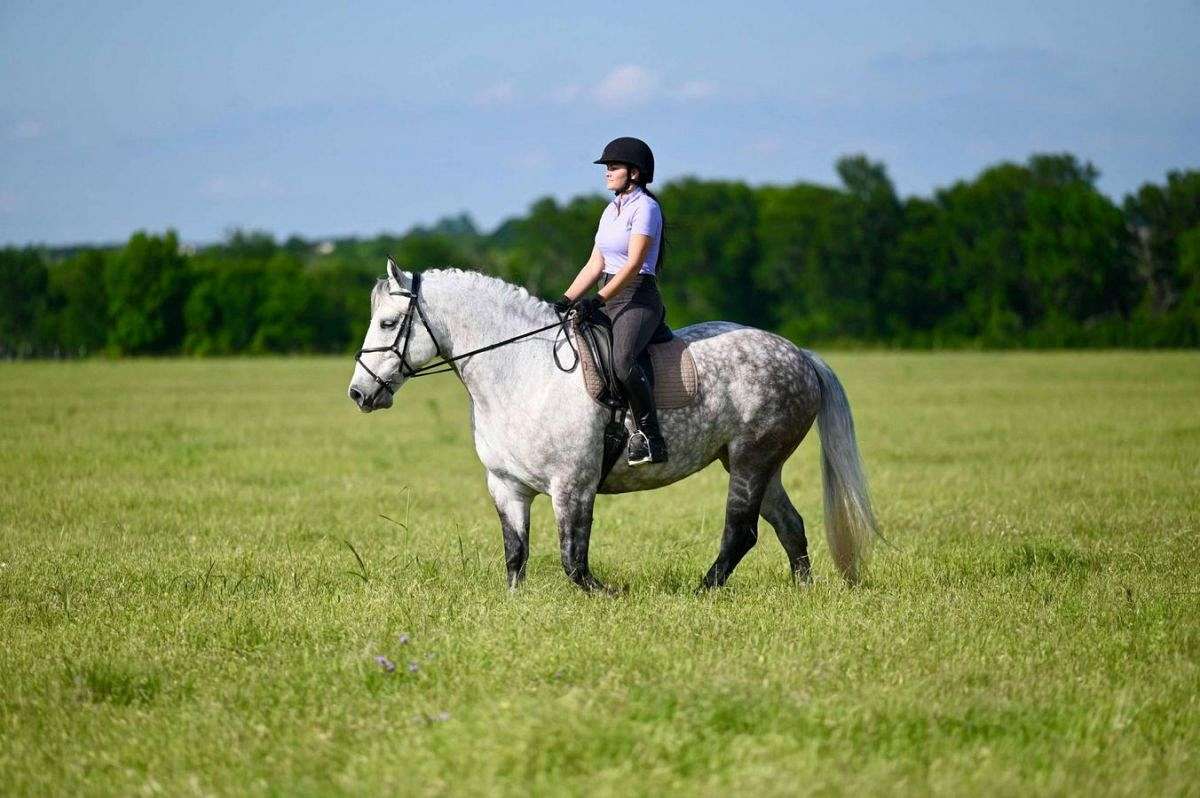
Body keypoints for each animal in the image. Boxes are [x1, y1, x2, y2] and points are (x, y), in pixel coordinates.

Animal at [347, 259, 879, 592]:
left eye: (389, 323)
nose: (359, 393)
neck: (521, 371)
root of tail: (799, 355)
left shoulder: (573, 485)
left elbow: (574, 564)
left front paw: (612, 595)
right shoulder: (506, 487)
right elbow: (516, 558)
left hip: (753, 457)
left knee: (741, 532)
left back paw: (701, 592)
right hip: (755, 464)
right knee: (790, 526)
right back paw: (803, 593)